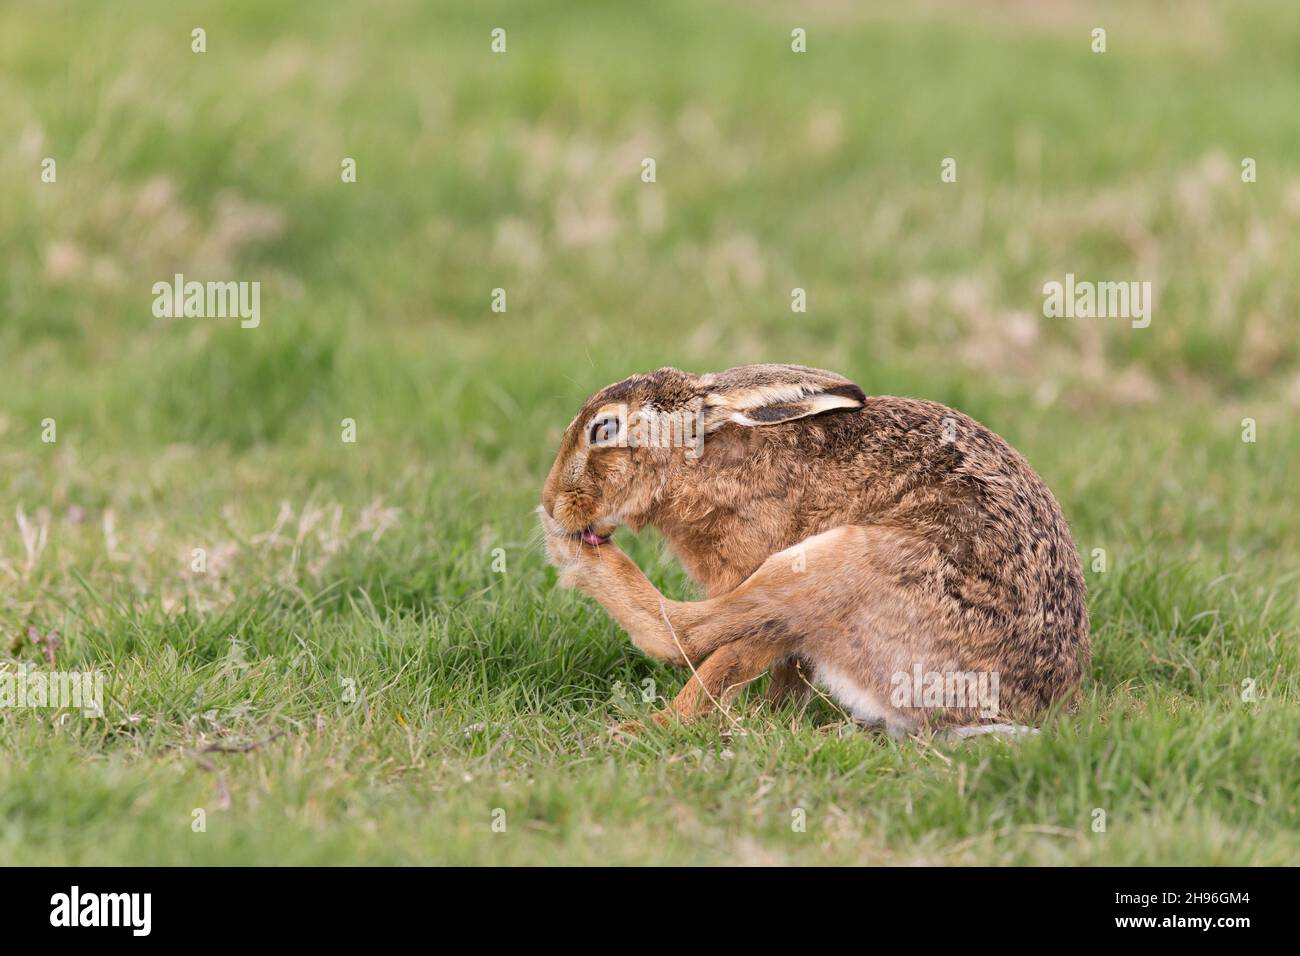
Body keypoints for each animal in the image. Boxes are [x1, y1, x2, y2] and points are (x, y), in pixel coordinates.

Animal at [540, 363, 1088, 737]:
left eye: (604, 429)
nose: (549, 504)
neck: (695, 461)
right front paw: (773, 715)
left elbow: (725, 653)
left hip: (837, 562)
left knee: (684, 634)